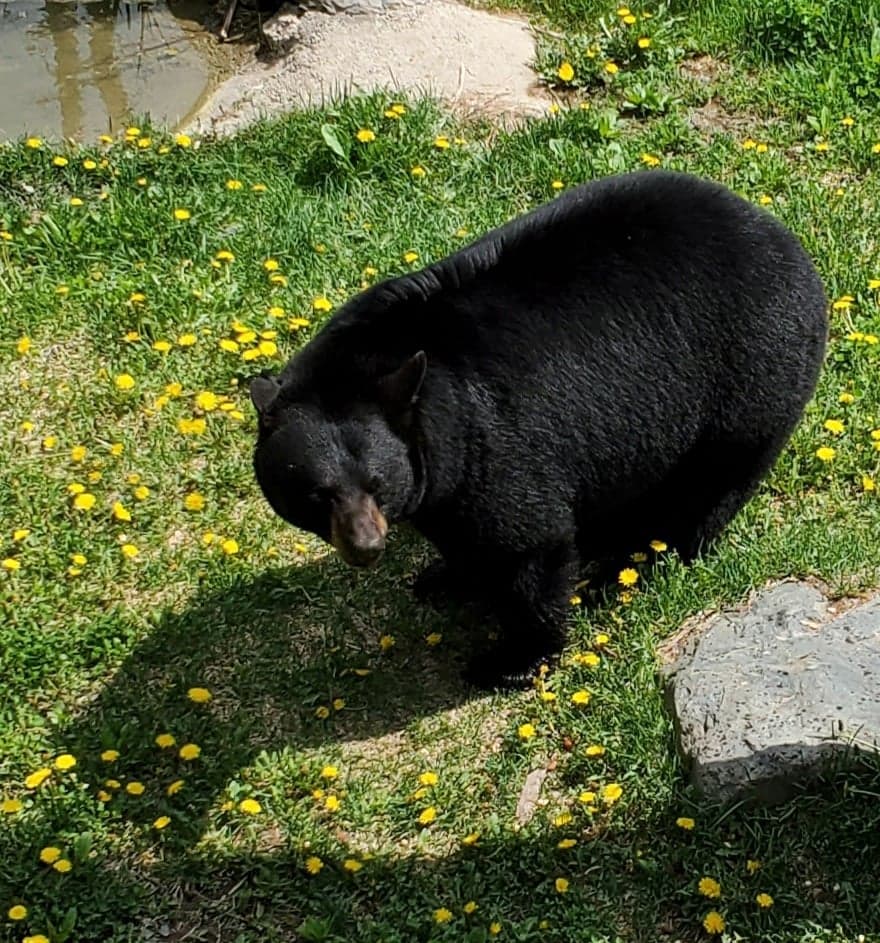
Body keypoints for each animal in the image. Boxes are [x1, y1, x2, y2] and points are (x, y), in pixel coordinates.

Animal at [249, 169, 828, 690]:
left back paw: (625, 566)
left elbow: (526, 544)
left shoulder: (491, 440)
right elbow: (458, 530)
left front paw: (511, 660)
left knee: (705, 490)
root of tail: (784, 238)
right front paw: (445, 577)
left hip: (750, 379)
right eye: (316, 492)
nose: (366, 547)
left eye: (377, 482)